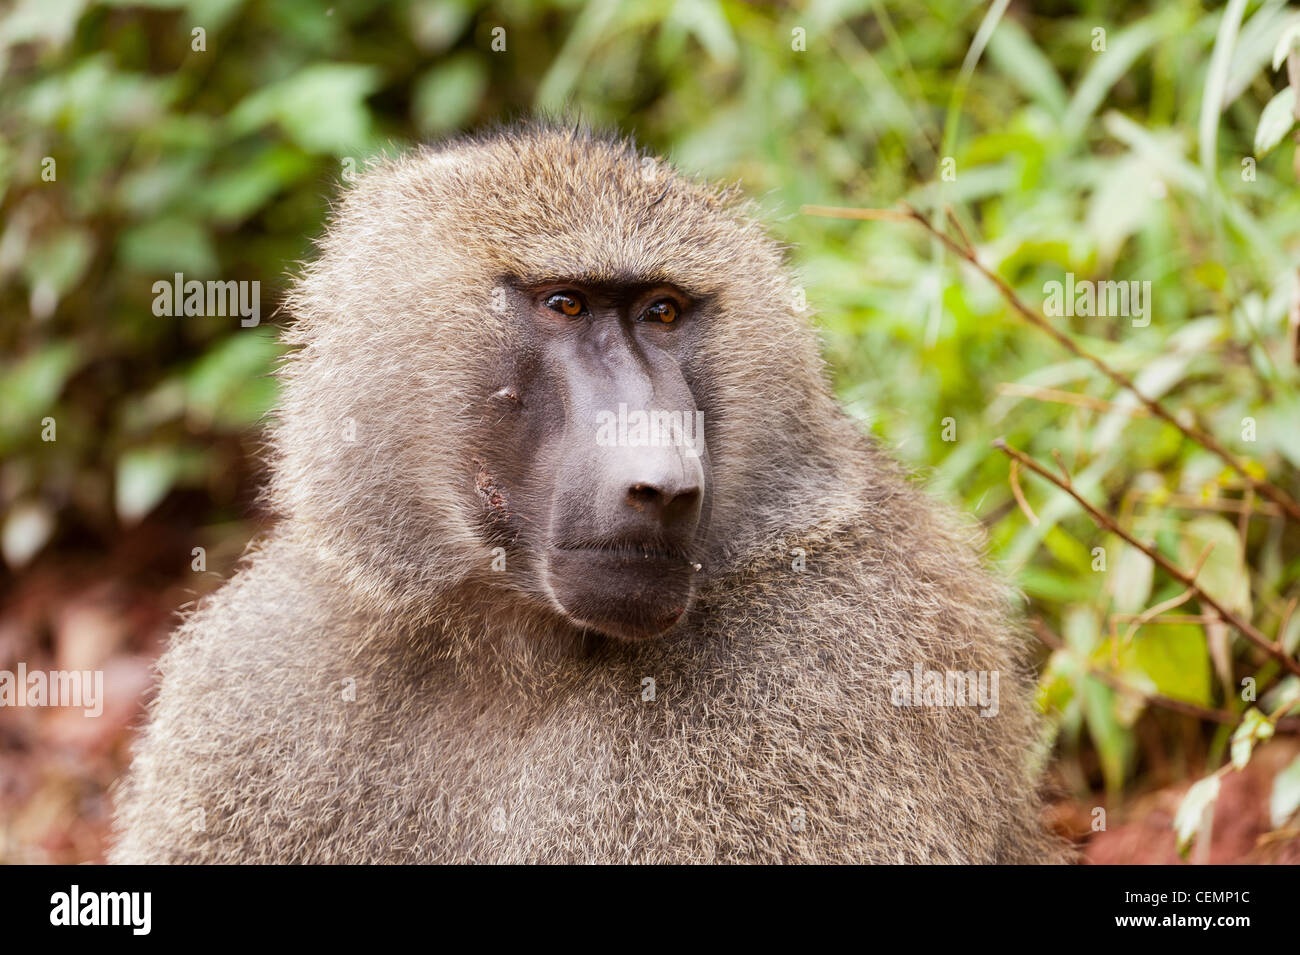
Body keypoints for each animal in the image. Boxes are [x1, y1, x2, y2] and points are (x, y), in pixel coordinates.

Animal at [110, 122, 1069, 864]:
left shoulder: (838, 659)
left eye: (662, 312)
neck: (515, 647)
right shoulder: (261, 683)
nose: (666, 484)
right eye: (566, 304)